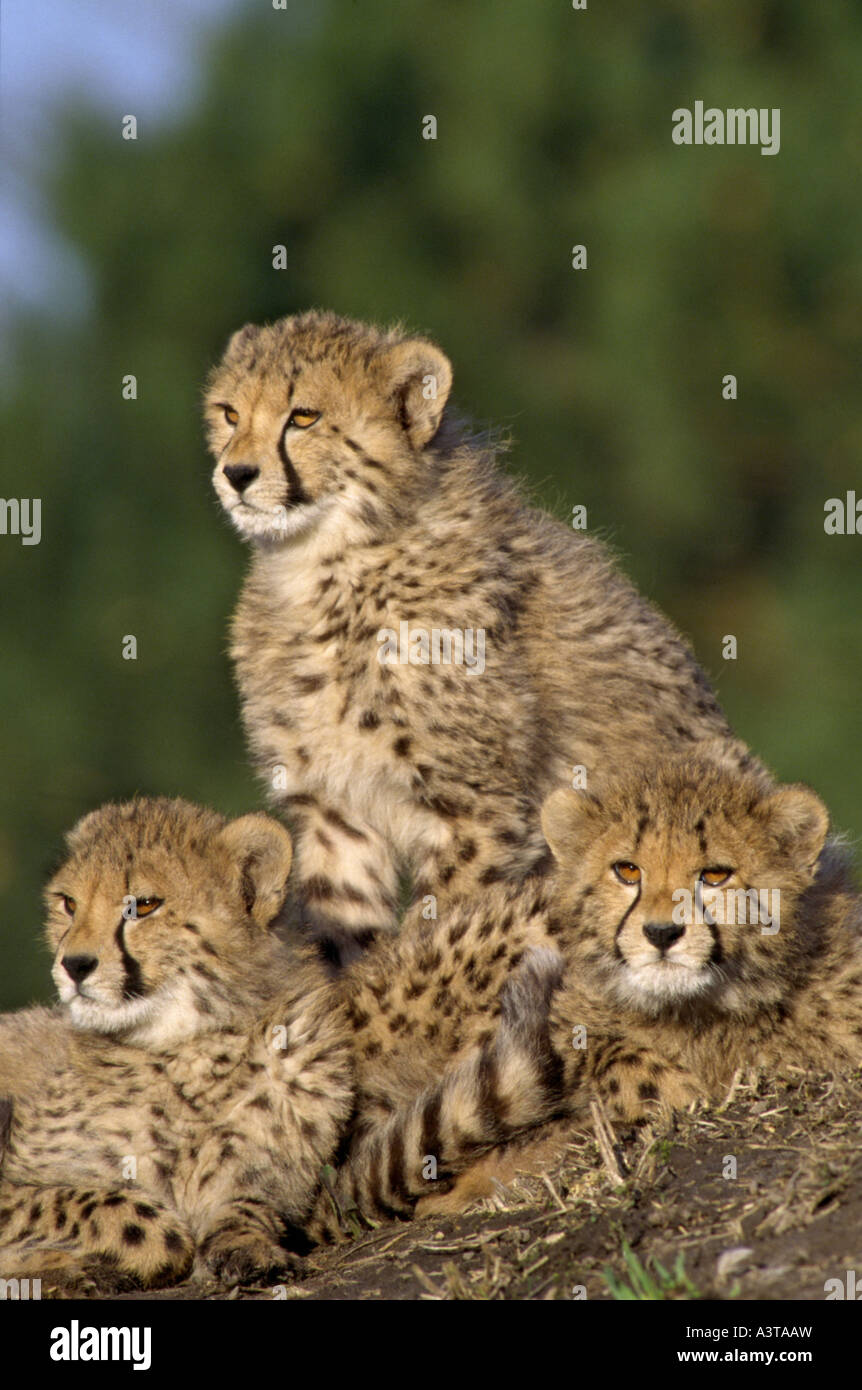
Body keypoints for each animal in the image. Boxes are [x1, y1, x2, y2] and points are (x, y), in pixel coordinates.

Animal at [0, 797, 353, 1289]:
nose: (74, 965)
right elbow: (121, 1214)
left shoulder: (268, 1177)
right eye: (68, 904)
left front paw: (248, 1246)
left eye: (144, 905)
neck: (190, 1054)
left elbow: (247, 1206)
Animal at [204, 310, 756, 964]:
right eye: (230, 413)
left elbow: (439, 928)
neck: (324, 563)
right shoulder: (335, 814)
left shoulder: (476, 811)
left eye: (304, 417)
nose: (236, 473)